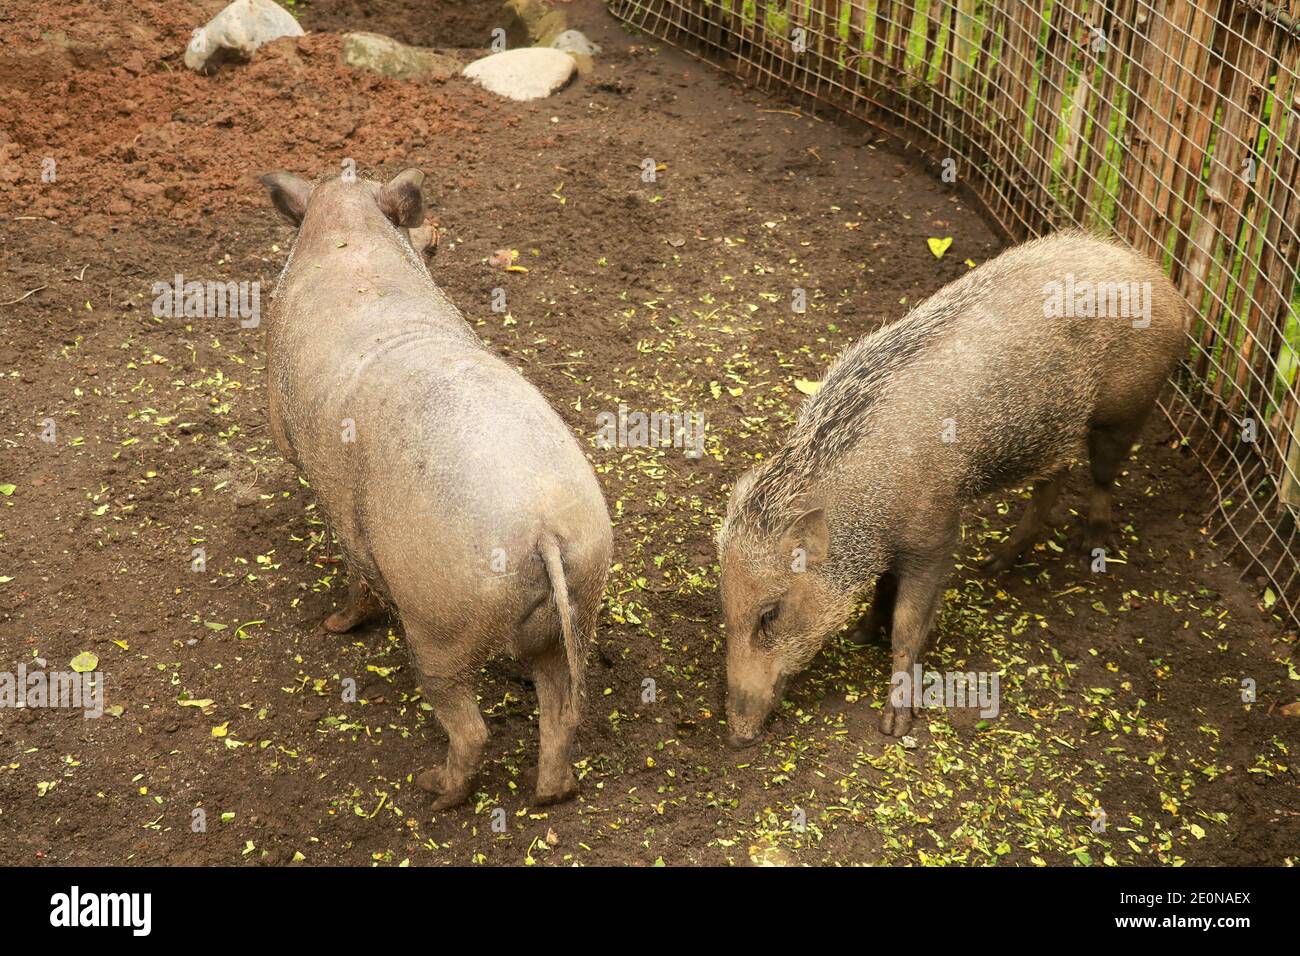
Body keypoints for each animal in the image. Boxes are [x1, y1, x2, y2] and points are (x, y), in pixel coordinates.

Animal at [258, 167, 612, 809]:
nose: (438, 233)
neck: (350, 231)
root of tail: (543, 528)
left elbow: (356, 574)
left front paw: (332, 626)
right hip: (579, 592)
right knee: (562, 710)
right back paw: (555, 793)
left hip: (439, 622)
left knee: (471, 728)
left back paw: (435, 793)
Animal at [717, 231, 1185, 744]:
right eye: (727, 611)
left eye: (770, 613)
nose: (737, 736)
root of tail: (1161, 280)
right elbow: (883, 589)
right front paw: (863, 635)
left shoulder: (935, 536)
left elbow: (908, 627)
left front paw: (894, 724)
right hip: (1050, 436)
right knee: (1053, 483)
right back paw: (994, 565)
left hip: (1125, 411)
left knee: (1101, 478)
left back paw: (1093, 547)